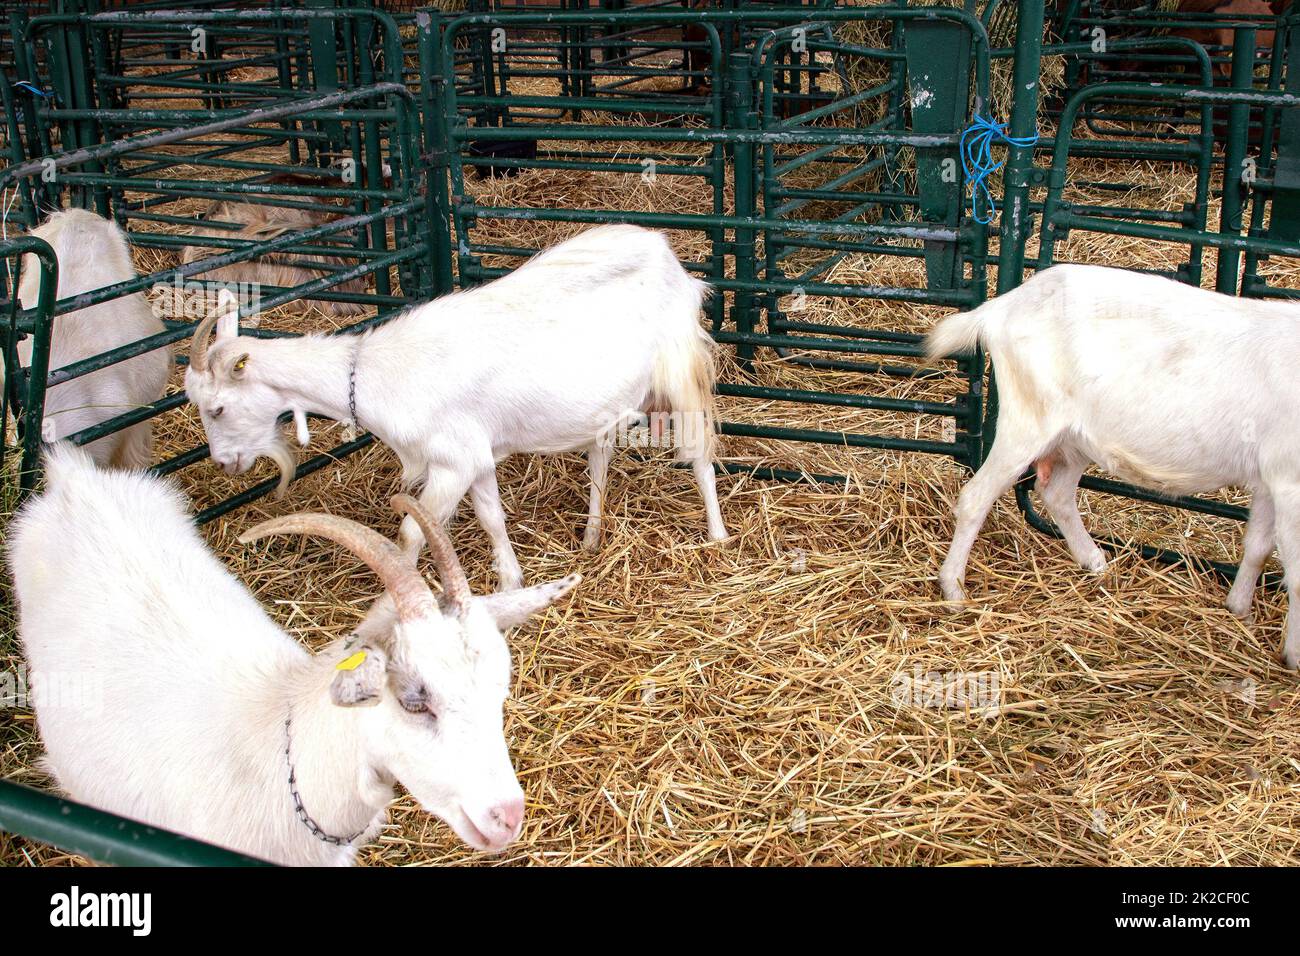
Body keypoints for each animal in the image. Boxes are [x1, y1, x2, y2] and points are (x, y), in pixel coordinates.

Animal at [183, 224, 729, 591]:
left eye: (217, 409)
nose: (223, 463)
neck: (377, 372)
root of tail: (665, 249)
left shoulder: (451, 463)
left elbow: (412, 533)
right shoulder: (474, 455)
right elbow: (491, 518)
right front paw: (510, 582)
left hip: (680, 367)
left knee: (700, 455)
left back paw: (718, 536)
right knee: (600, 456)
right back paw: (592, 537)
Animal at [926, 263, 1300, 669]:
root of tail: (1001, 307)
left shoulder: (1271, 476)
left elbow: (1258, 547)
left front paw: (1239, 609)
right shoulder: (1291, 481)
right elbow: (1295, 573)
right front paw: (1294, 655)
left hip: (1075, 438)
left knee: (1056, 494)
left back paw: (1094, 561)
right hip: (1028, 418)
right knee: (976, 497)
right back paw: (954, 588)